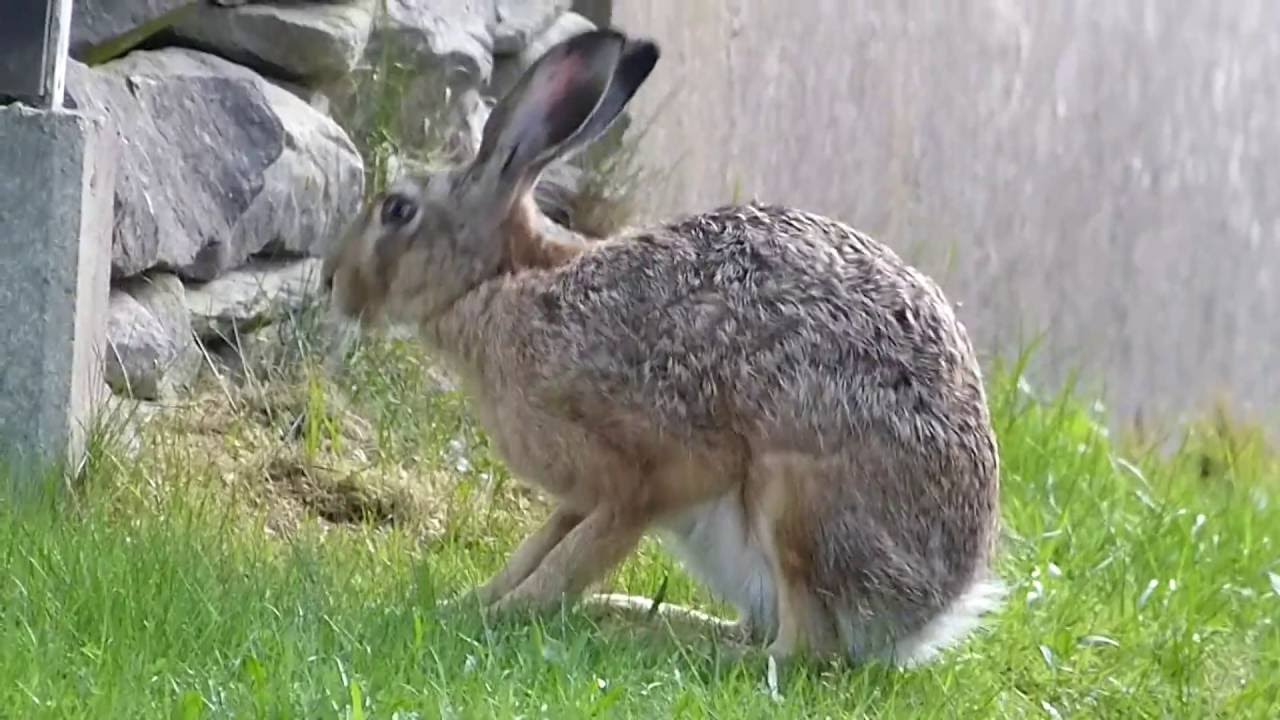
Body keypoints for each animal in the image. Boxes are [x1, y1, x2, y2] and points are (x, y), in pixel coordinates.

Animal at [321, 28, 1003, 666]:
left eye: (398, 210)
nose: (334, 282)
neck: (498, 281)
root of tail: (932, 611)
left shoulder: (639, 473)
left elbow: (577, 554)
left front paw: (503, 613)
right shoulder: (581, 492)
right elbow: (543, 543)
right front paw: (472, 601)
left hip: (793, 497)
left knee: (801, 649)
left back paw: (657, 642)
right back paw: (631, 615)